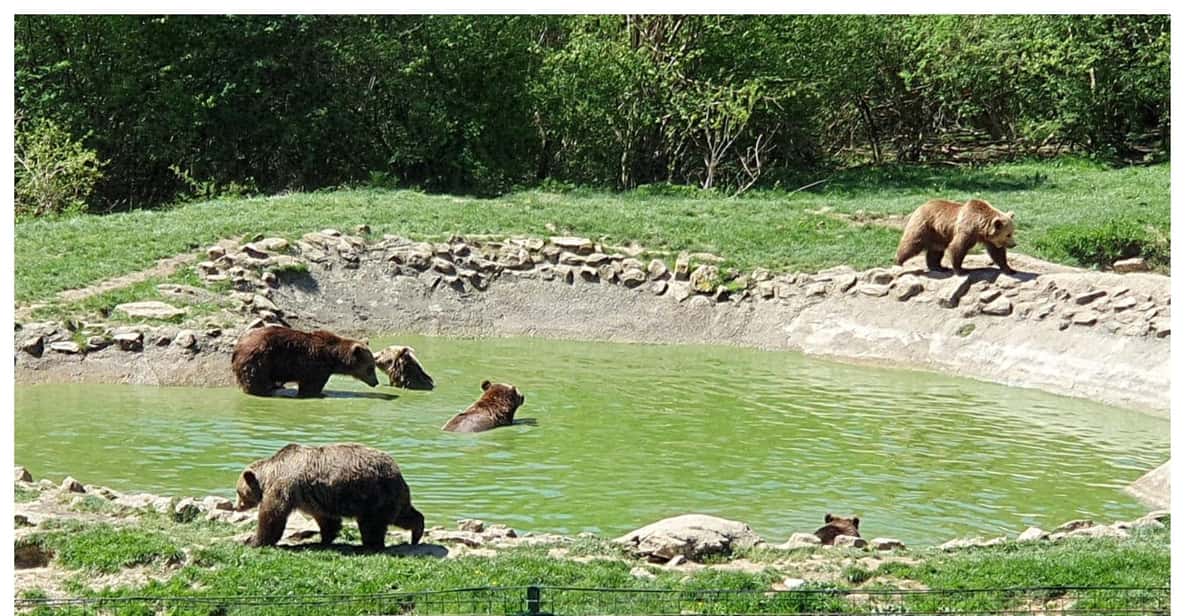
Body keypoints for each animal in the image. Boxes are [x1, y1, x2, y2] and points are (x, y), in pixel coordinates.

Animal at [231, 326, 379, 397]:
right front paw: (320, 393)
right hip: (261, 358)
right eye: (371, 368)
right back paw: (265, 390)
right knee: (255, 378)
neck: (334, 357)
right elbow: (311, 386)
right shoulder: (316, 366)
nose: (376, 382)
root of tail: (239, 343)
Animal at [235, 442, 425, 549]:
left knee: (372, 524)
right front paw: (324, 539)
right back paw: (416, 534)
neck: (268, 475)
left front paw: (253, 541)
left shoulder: (283, 487)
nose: (237, 507)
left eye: (238, 491)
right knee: (403, 514)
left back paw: (371, 545)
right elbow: (327, 520)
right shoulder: (315, 498)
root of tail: (397, 471)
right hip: (391, 495)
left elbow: (272, 516)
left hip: (372, 494)